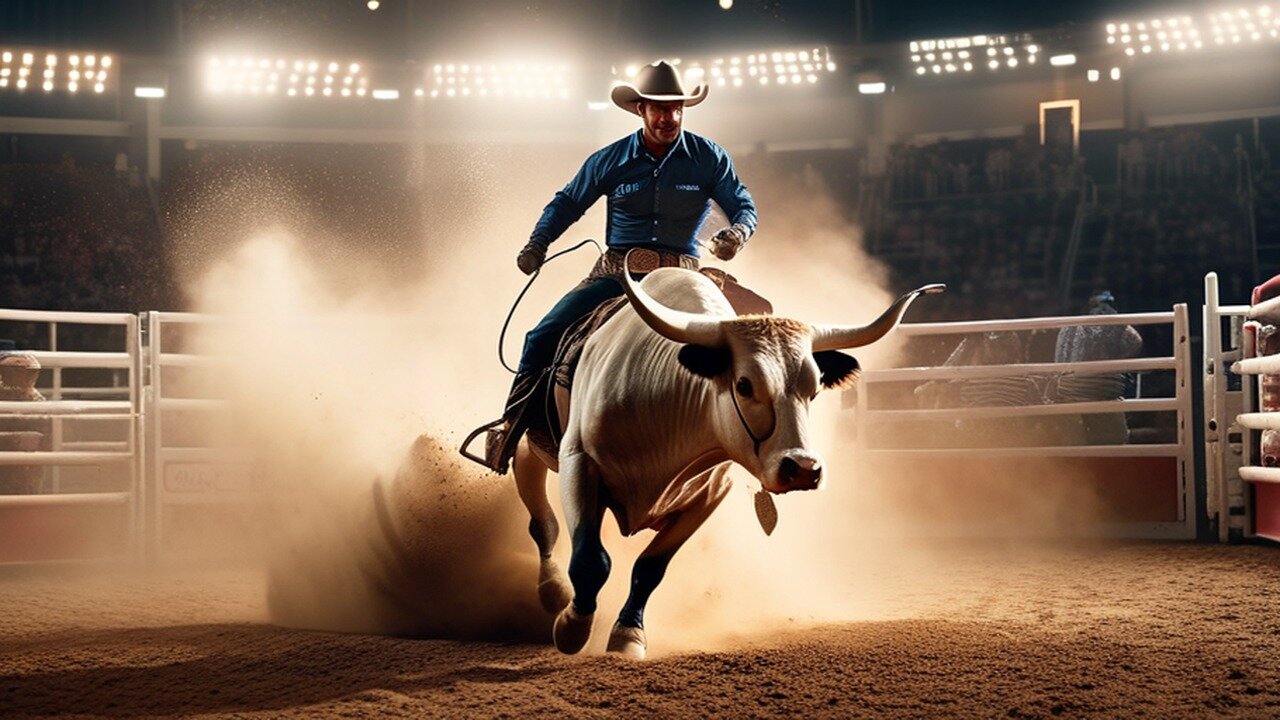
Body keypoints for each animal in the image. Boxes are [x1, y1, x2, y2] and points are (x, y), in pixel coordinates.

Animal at [512, 256, 941, 658]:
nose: (802, 469)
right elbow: (590, 559)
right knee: (540, 513)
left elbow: (650, 567)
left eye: (815, 387)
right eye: (744, 384)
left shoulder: (710, 493)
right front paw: (571, 627)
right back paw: (552, 590)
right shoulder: (579, 464)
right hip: (534, 445)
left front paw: (627, 635)